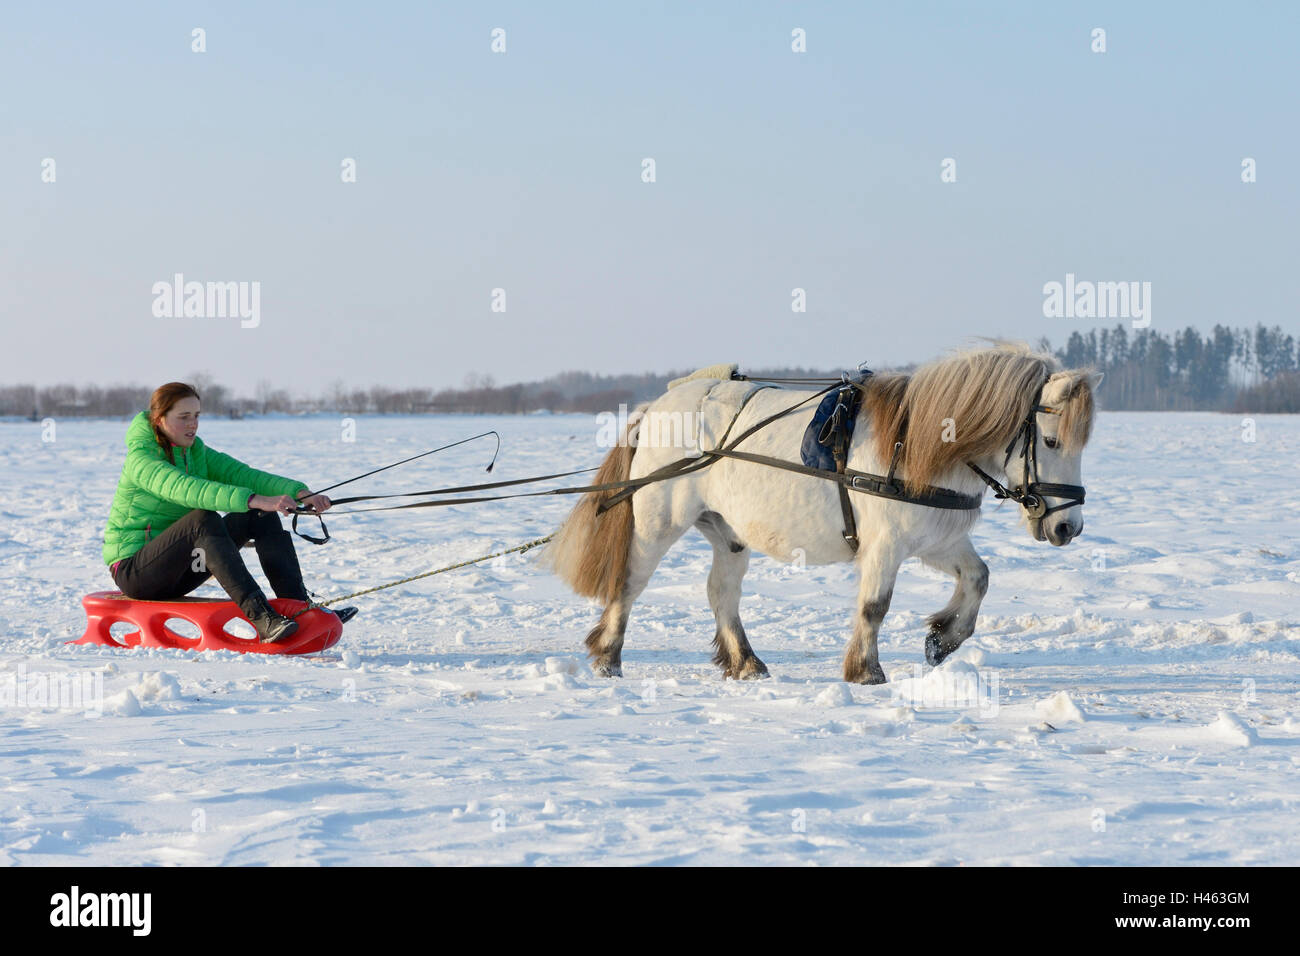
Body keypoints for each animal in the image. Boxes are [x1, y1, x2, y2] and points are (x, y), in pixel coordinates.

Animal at [542, 343, 1101, 684]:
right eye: (1051, 441)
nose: (1067, 526)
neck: (920, 445)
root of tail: (657, 407)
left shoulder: (937, 540)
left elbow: (980, 577)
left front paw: (942, 639)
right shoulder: (885, 545)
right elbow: (874, 606)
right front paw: (866, 670)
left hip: (728, 531)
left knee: (721, 592)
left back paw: (746, 661)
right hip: (659, 522)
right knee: (629, 582)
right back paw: (609, 657)